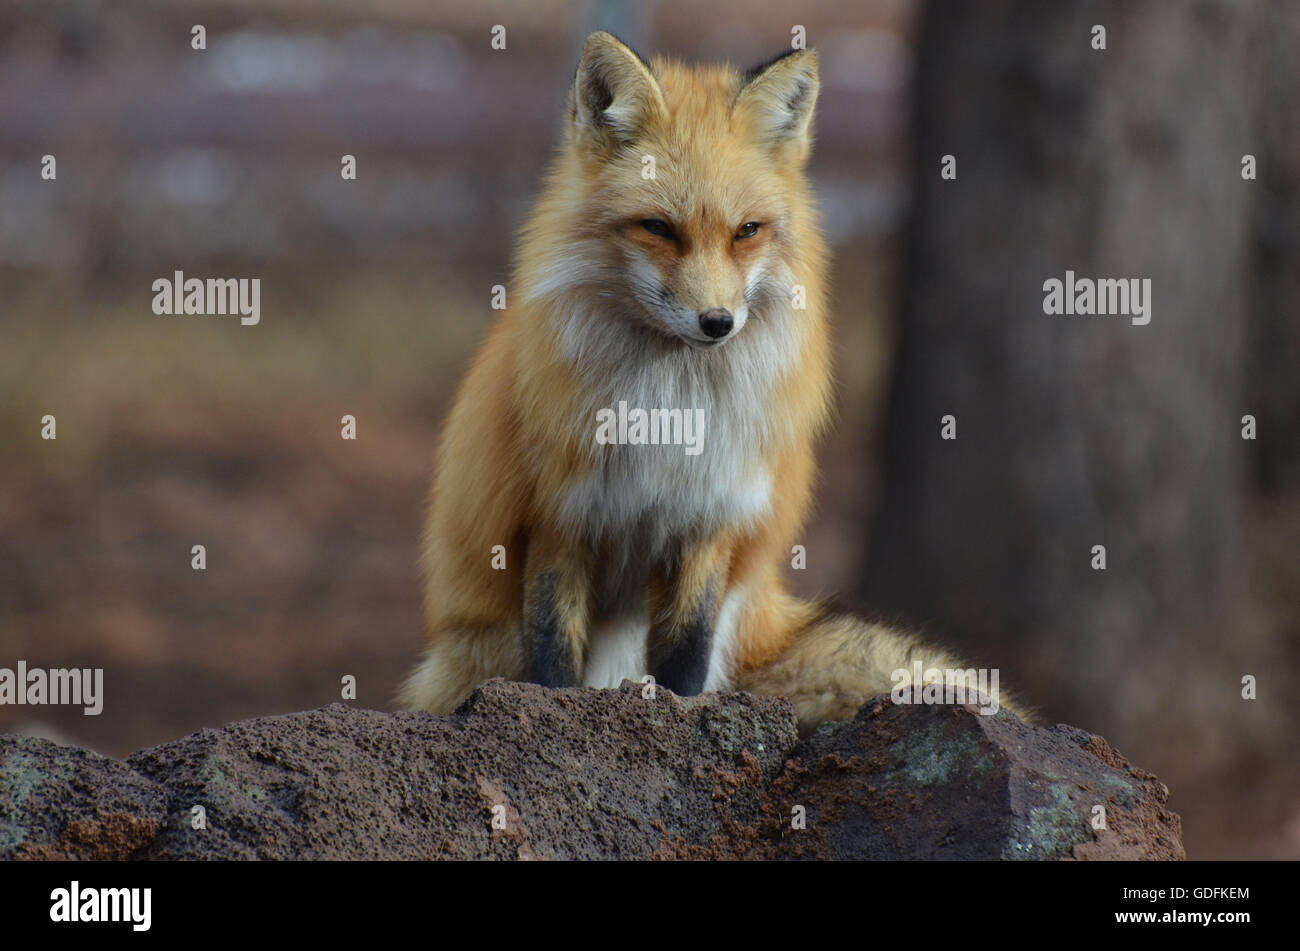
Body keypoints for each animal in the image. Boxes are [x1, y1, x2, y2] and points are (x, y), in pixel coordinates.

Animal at [399, 32, 1028, 733]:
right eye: (658, 228)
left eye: (746, 231)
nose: (718, 322)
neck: (673, 409)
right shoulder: (558, 515)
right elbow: (553, 651)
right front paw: (548, 710)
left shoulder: (710, 512)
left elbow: (685, 653)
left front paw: (681, 713)